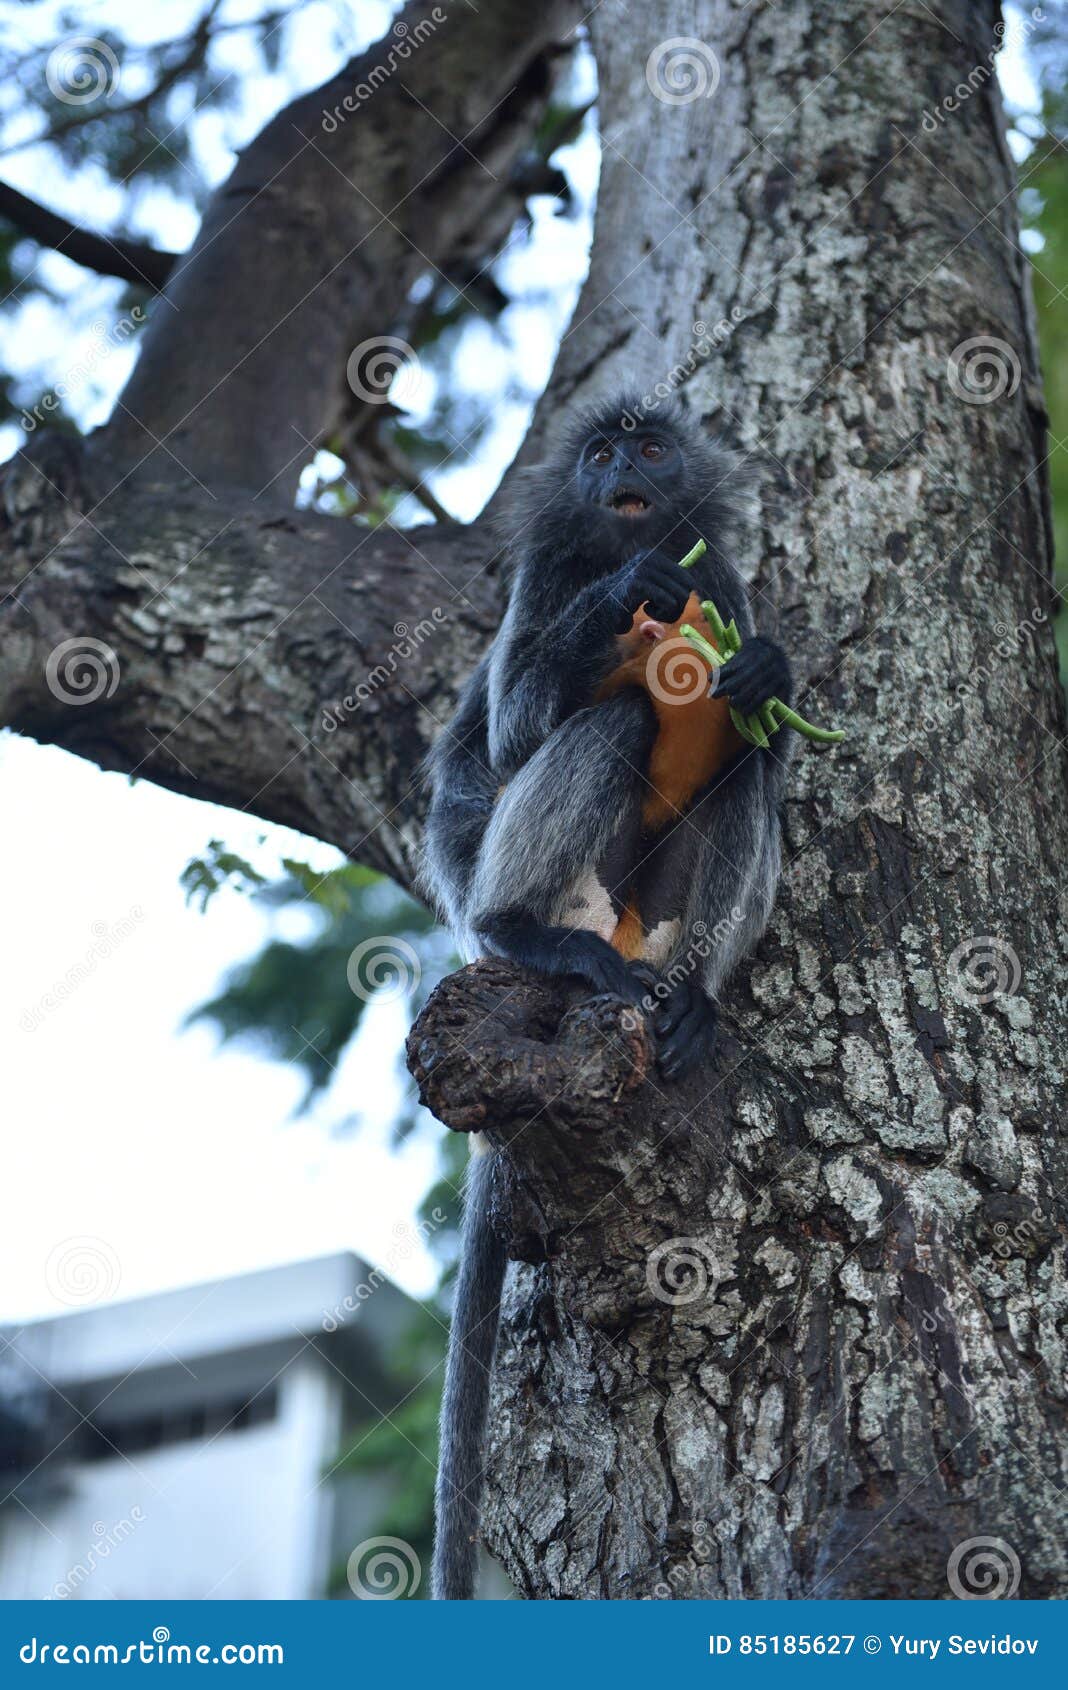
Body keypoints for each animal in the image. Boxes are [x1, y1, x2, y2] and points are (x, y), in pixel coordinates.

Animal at [420, 394, 793, 1598]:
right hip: (526, 888)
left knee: (746, 769)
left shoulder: (726, 575)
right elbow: (511, 737)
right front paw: (625, 588)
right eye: (597, 454)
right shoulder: (542, 575)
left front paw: (773, 671)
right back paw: (521, 930)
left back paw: (694, 999)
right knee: (606, 727)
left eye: (652, 448)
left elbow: (765, 731)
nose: (623, 465)